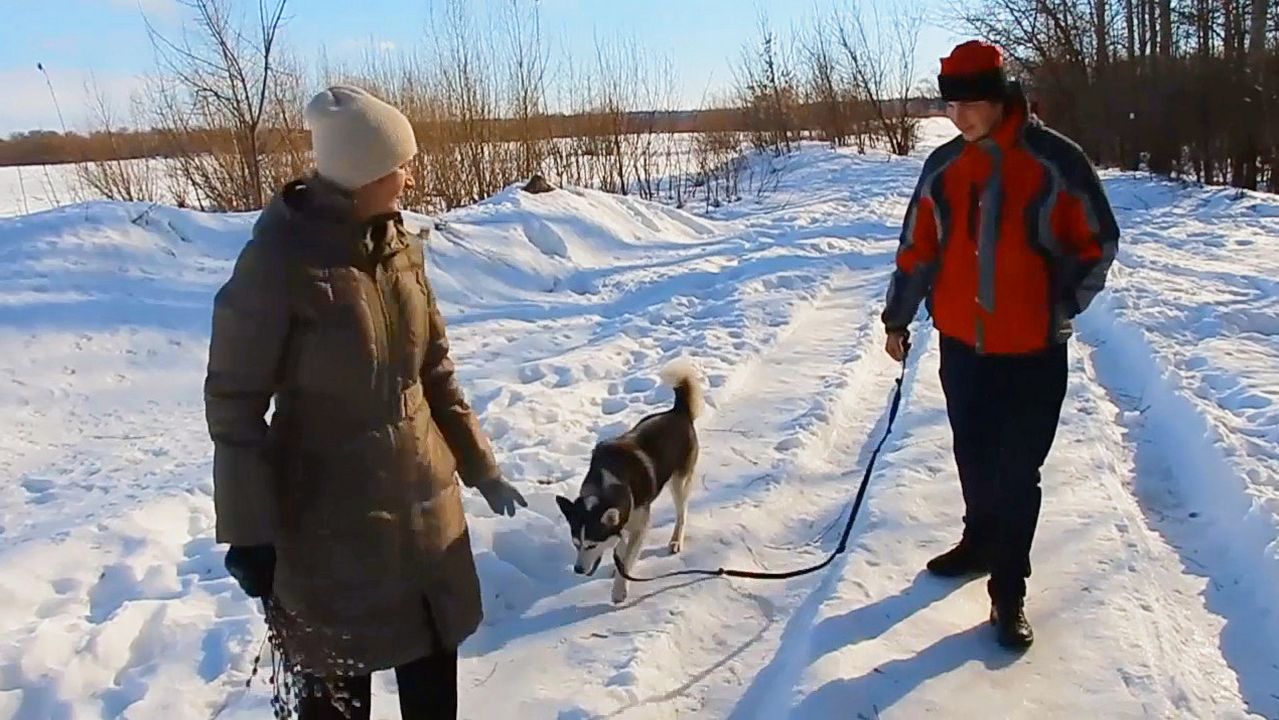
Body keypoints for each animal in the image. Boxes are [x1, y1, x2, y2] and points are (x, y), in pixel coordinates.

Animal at [556, 359, 702, 604]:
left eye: (592, 545)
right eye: (576, 543)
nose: (578, 569)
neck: (606, 483)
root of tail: (676, 411)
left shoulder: (640, 524)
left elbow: (628, 555)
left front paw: (619, 588)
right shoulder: (624, 524)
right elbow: (621, 547)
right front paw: (618, 562)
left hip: (679, 482)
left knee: (682, 513)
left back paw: (676, 541)